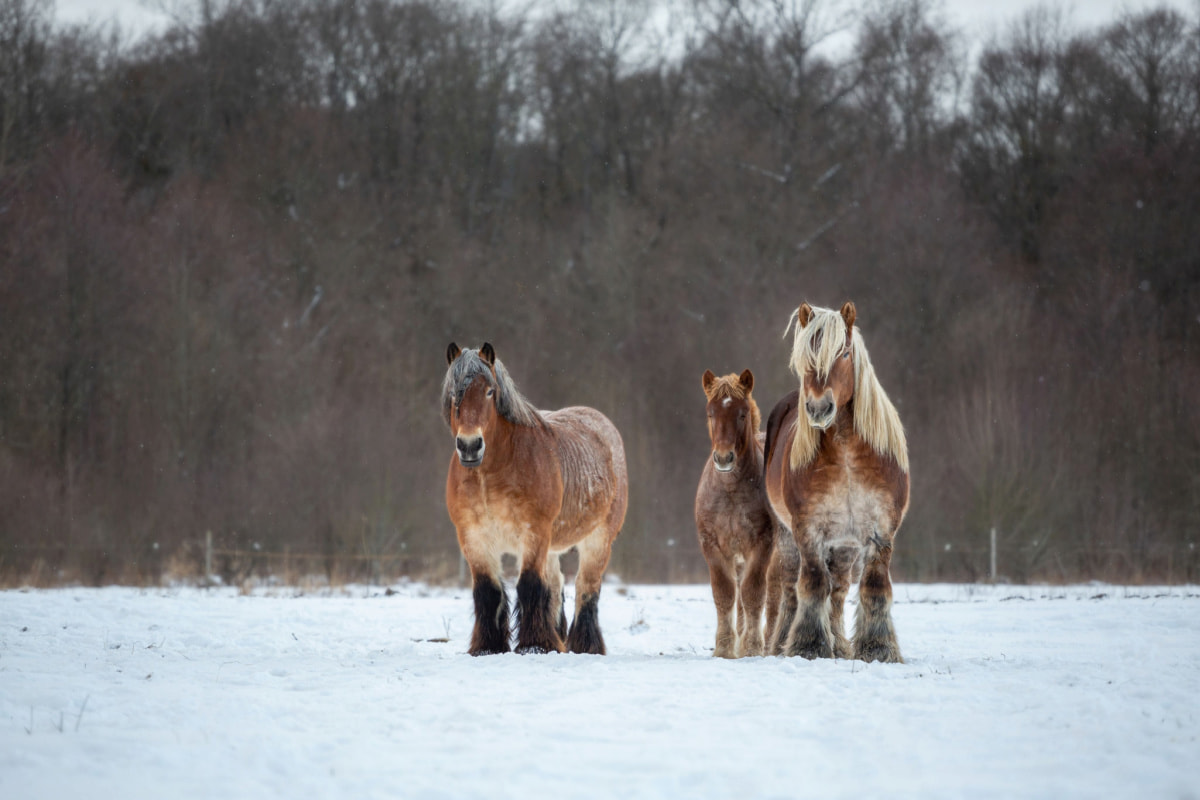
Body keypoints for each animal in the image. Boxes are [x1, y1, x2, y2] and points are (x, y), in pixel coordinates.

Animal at [442, 342, 628, 656]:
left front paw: (534, 646)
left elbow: (529, 585)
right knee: (555, 585)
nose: (469, 446)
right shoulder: (473, 536)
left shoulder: (533, 532)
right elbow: (488, 590)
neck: (491, 475)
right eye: (455, 392)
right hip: (551, 546)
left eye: (490, 391)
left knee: (586, 587)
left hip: (598, 539)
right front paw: (488, 647)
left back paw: (585, 646)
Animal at [763, 302, 909, 662]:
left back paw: (841, 645)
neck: (847, 456)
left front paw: (878, 649)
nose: (819, 408)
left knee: (840, 590)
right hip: (788, 538)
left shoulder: (881, 529)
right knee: (792, 589)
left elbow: (874, 588)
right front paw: (808, 646)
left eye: (843, 353)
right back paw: (783, 642)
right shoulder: (808, 528)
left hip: (844, 544)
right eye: (807, 356)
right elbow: (814, 585)